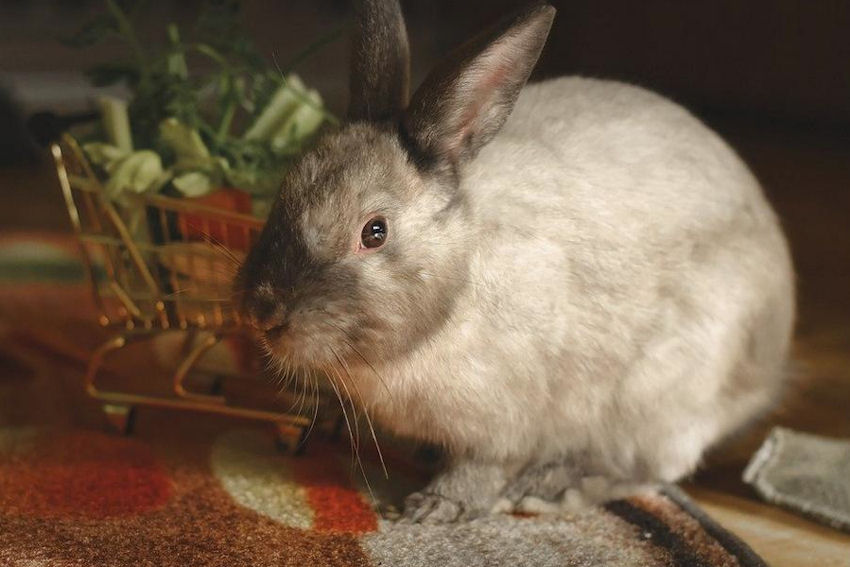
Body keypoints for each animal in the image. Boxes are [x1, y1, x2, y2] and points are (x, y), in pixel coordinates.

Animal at [235, 0, 795, 523]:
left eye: (375, 232)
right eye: (285, 188)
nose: (262, 314)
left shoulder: (504, 422)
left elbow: (482, 467)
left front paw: (432, 508)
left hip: (662, 394)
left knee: (654, 467)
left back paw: (548, 488)